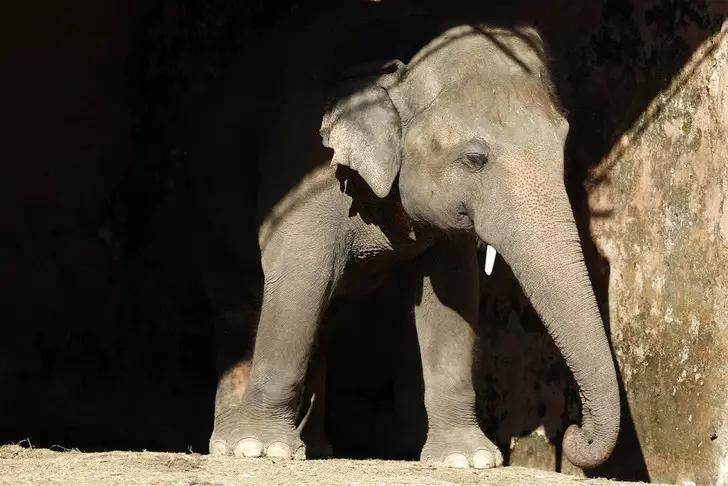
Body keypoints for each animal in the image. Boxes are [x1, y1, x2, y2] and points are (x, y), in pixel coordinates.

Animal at [182, 8, 620, 470]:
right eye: (475, 159)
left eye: (563, 142)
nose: (574, 436)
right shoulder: (304, 165)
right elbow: (301, 276)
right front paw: (262, 449)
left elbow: (451, 298)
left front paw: (466, 459)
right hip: (207, 201)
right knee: (239, 307)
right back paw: (232, 444)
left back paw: (315, 449)